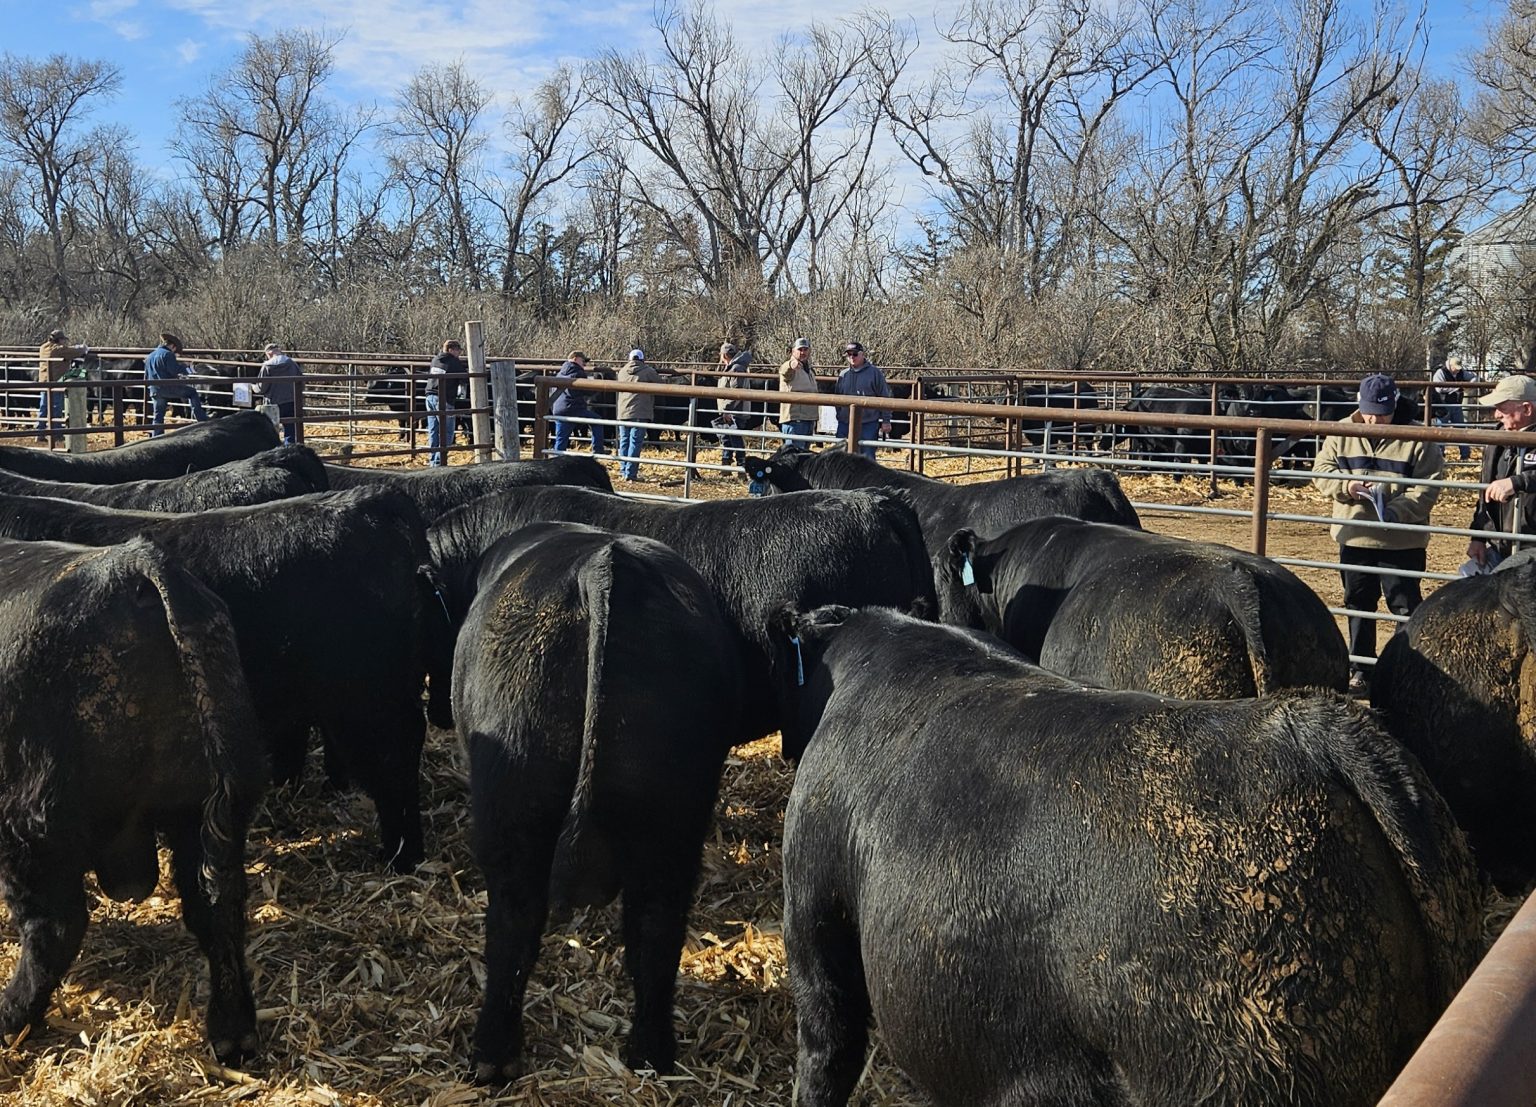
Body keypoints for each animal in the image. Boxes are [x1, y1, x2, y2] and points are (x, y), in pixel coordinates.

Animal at [0, 537, 265, 1063]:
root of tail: (127, 564)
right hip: (202, 813)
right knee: (218, 905)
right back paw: (232, 1030)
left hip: (32, 824)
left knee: (55, 927)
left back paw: (12, 1018)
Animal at [457, 522, 747, 1082]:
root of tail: (602, 564)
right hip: (673, 820)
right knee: (656, 925)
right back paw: (651, 1053)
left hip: (513, 803)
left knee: (514, 920)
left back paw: (492, 1055)